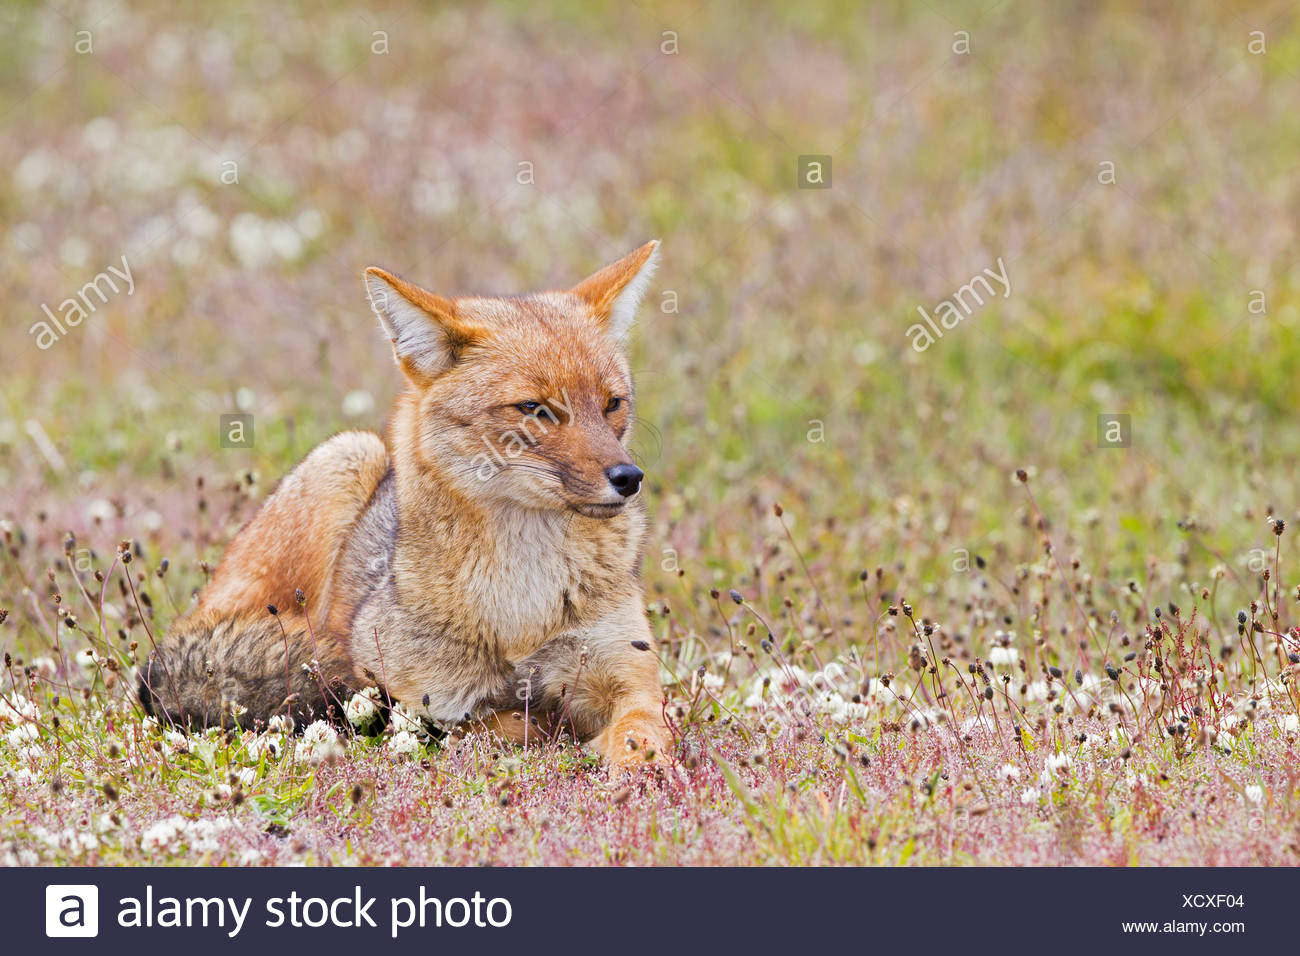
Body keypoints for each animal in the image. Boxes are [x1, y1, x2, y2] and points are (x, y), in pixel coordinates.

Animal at [138, 241, 672, 769]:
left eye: (612, 403)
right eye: (534, 409)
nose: (628, 478)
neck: (524, 606)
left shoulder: (633, 684)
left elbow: (640, 738)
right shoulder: (428, 703)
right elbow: (511, 726)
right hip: (351, 454)